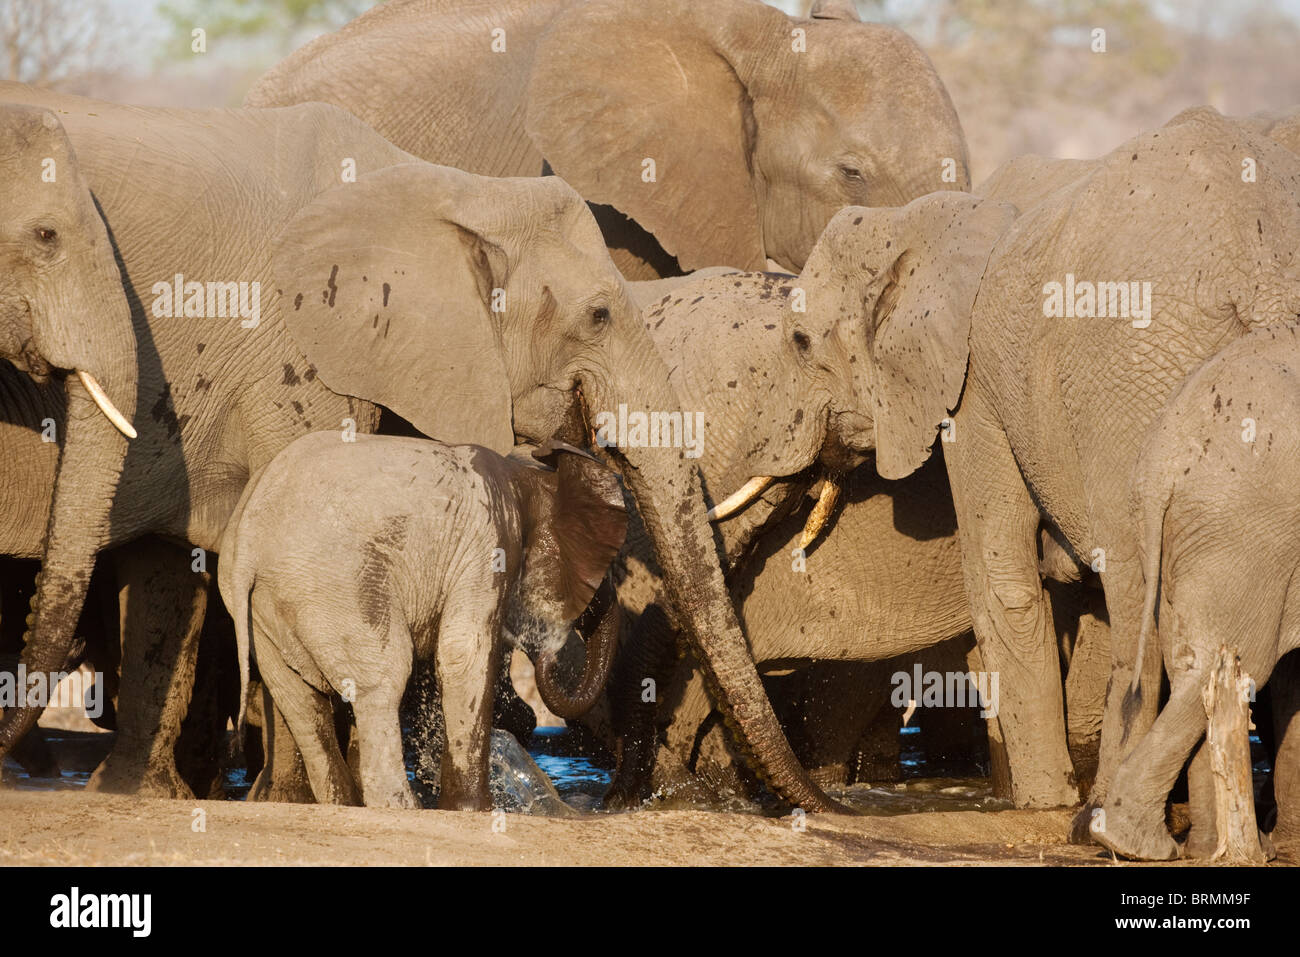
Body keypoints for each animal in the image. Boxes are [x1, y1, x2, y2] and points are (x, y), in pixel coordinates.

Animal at [217, 432, 627, 809]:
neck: (523, 475)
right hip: (340, 589)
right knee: (382, 683)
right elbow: (464, 653)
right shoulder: (490, 541)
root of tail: (248, 539)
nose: (548, 655)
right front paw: (474, 811)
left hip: (262, 610)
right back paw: (403, 809)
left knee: (300, 701)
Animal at [1094, 322, 1300, 860]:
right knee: (1236, 660)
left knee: (1191, 662)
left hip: (1187, 541)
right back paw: (1136, 844)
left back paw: (1199, 848)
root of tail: (1160, 466)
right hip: (1241, 531)